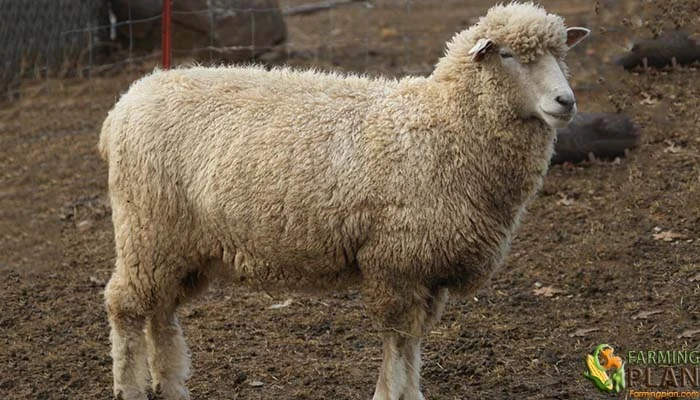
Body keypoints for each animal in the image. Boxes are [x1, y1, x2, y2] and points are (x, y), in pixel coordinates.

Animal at [99, 3, 589, 400]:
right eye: (507, 55)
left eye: (561, 54)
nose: (566, 101)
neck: (445, 125)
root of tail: (128, 100)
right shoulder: (397, 262)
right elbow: (398, 339)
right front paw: (391, 393)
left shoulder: (427, 269)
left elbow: (414, 341)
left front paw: (411, 391)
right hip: (146, 229)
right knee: (125, 307)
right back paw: (130, 388)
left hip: (179, 246)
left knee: (160, 313)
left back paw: (170, 385)